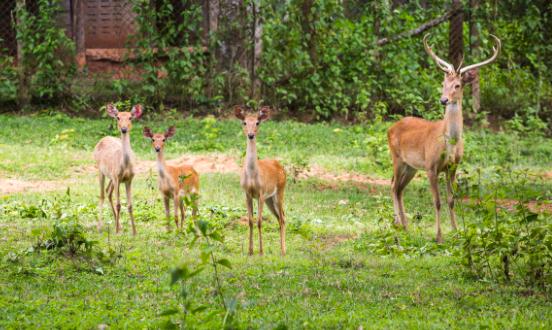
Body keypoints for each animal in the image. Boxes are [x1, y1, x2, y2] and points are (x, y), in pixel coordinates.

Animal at [92, 103, 142, 235]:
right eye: (118, 117)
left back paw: (119, 225)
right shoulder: (117, 177)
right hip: (100, 170)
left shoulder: (129, 179)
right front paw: (116, 232)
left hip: (112, 177)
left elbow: (130, 205)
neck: (125, 165)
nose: (123, 129)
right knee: (102, 195)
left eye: (130, 117)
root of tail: (103, 139)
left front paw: (134, 231)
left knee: (108, 191)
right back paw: (100, 226)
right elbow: (119, 204)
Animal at [234, 105, 286, 255]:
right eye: (244, 122)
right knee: (280, 217)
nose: (251, 135)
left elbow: (259, 221)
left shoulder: (261, 193)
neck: (252, 176)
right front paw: (250, 251)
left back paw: (283, 250)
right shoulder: (247, 193)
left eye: (257, 122)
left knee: (283, 217)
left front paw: (261, 251)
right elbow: (251, 221)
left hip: (279, 191)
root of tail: (280, 166)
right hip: (270, 199)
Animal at [388, 34, 500, 242]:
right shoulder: (431, 166)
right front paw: (439, 236)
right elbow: (437, 201)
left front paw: (456, 232)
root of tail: (390, 128)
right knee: (392, 186)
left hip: (411, 166)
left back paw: (405, 226)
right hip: (397, 157)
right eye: (443, 84)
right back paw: (398, 224)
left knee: (399, 188)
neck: (450, 142)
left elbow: (451, 200)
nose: (443, 99)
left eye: (457, 85)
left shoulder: (453, 166)